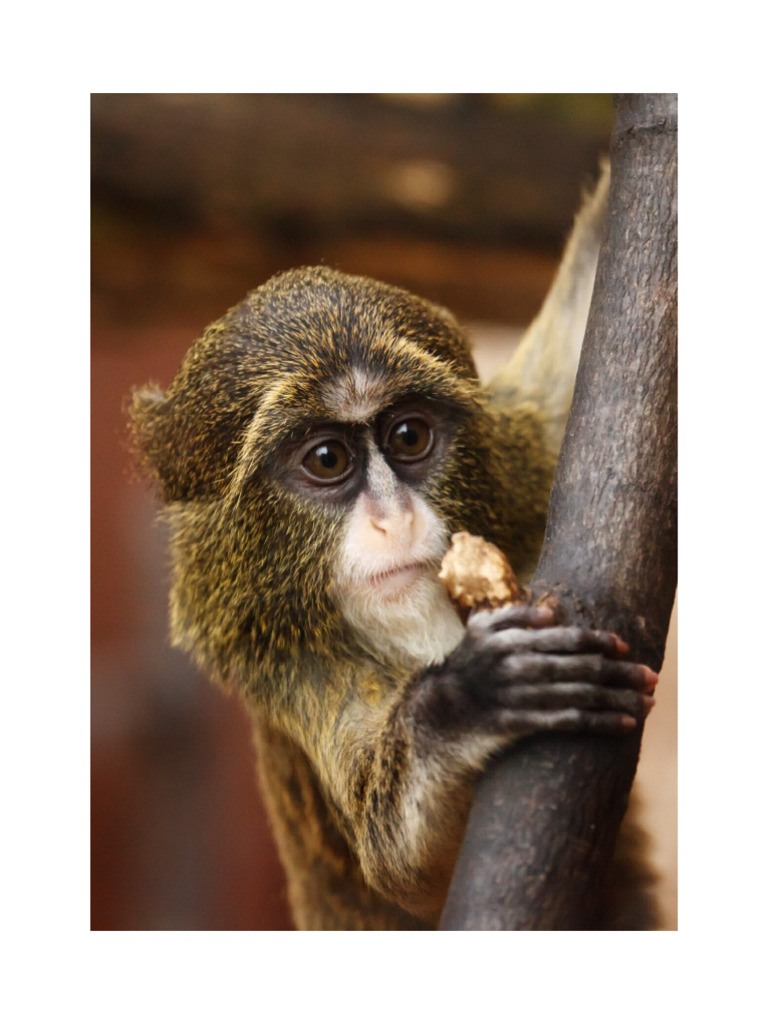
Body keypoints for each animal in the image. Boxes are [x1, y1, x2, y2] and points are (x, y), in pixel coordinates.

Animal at [129, 166, 660, 929]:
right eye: (327, 458)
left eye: (408, 437)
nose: (393, 518)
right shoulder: (287, 665)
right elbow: (409, 872)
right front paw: (468, 701)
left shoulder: (523, 456)